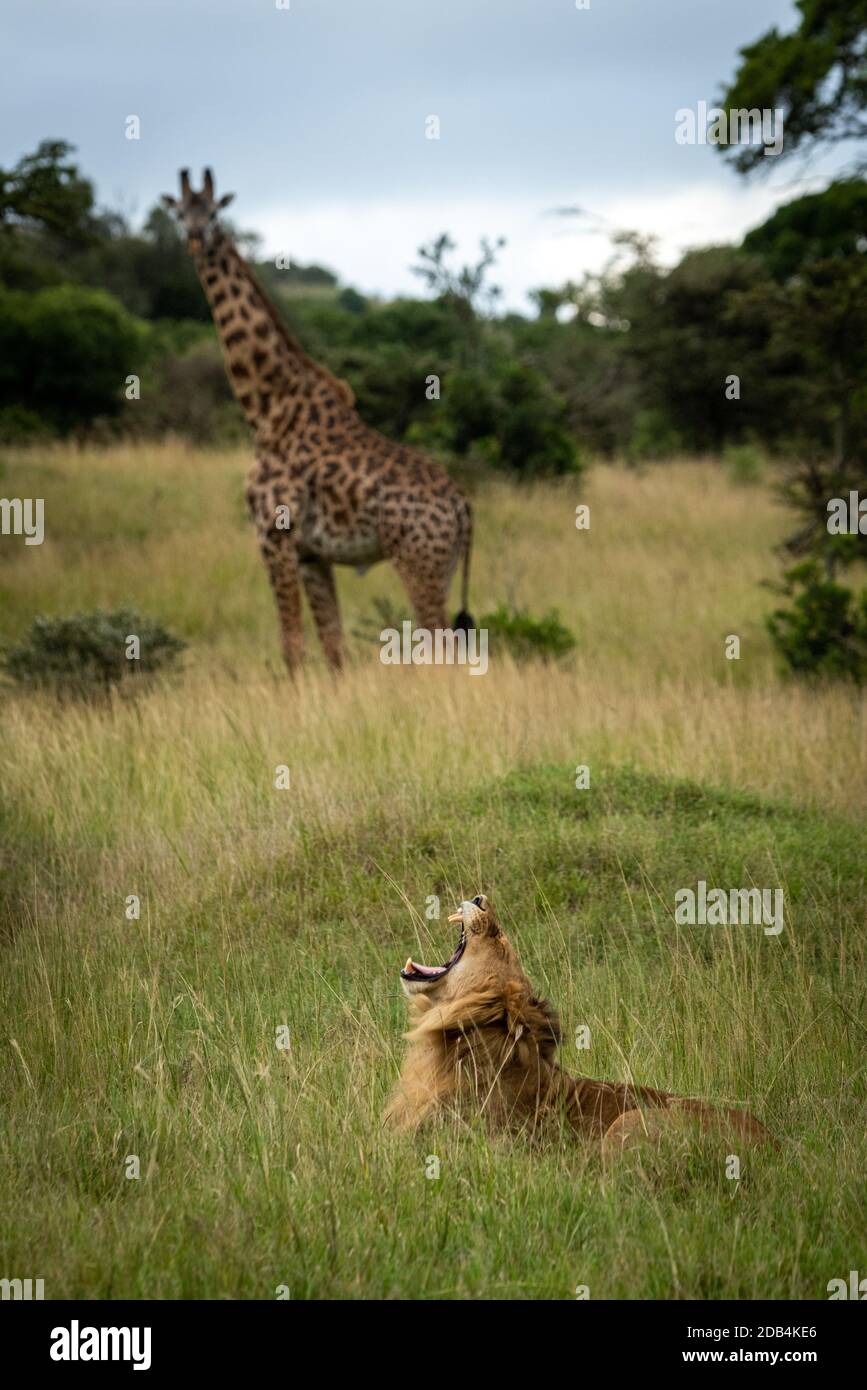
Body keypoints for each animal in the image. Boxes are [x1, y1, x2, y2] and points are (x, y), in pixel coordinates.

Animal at [162, 169, 474, 673]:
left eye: (212, 214)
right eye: (179, 214)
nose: (195, 241)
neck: (266, 407)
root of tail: (463, 506)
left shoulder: (272, 536)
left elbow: (291, 646)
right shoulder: (312, 554)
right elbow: (334, 648)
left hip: (418, 562)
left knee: (442, 647)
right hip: (442, 566)